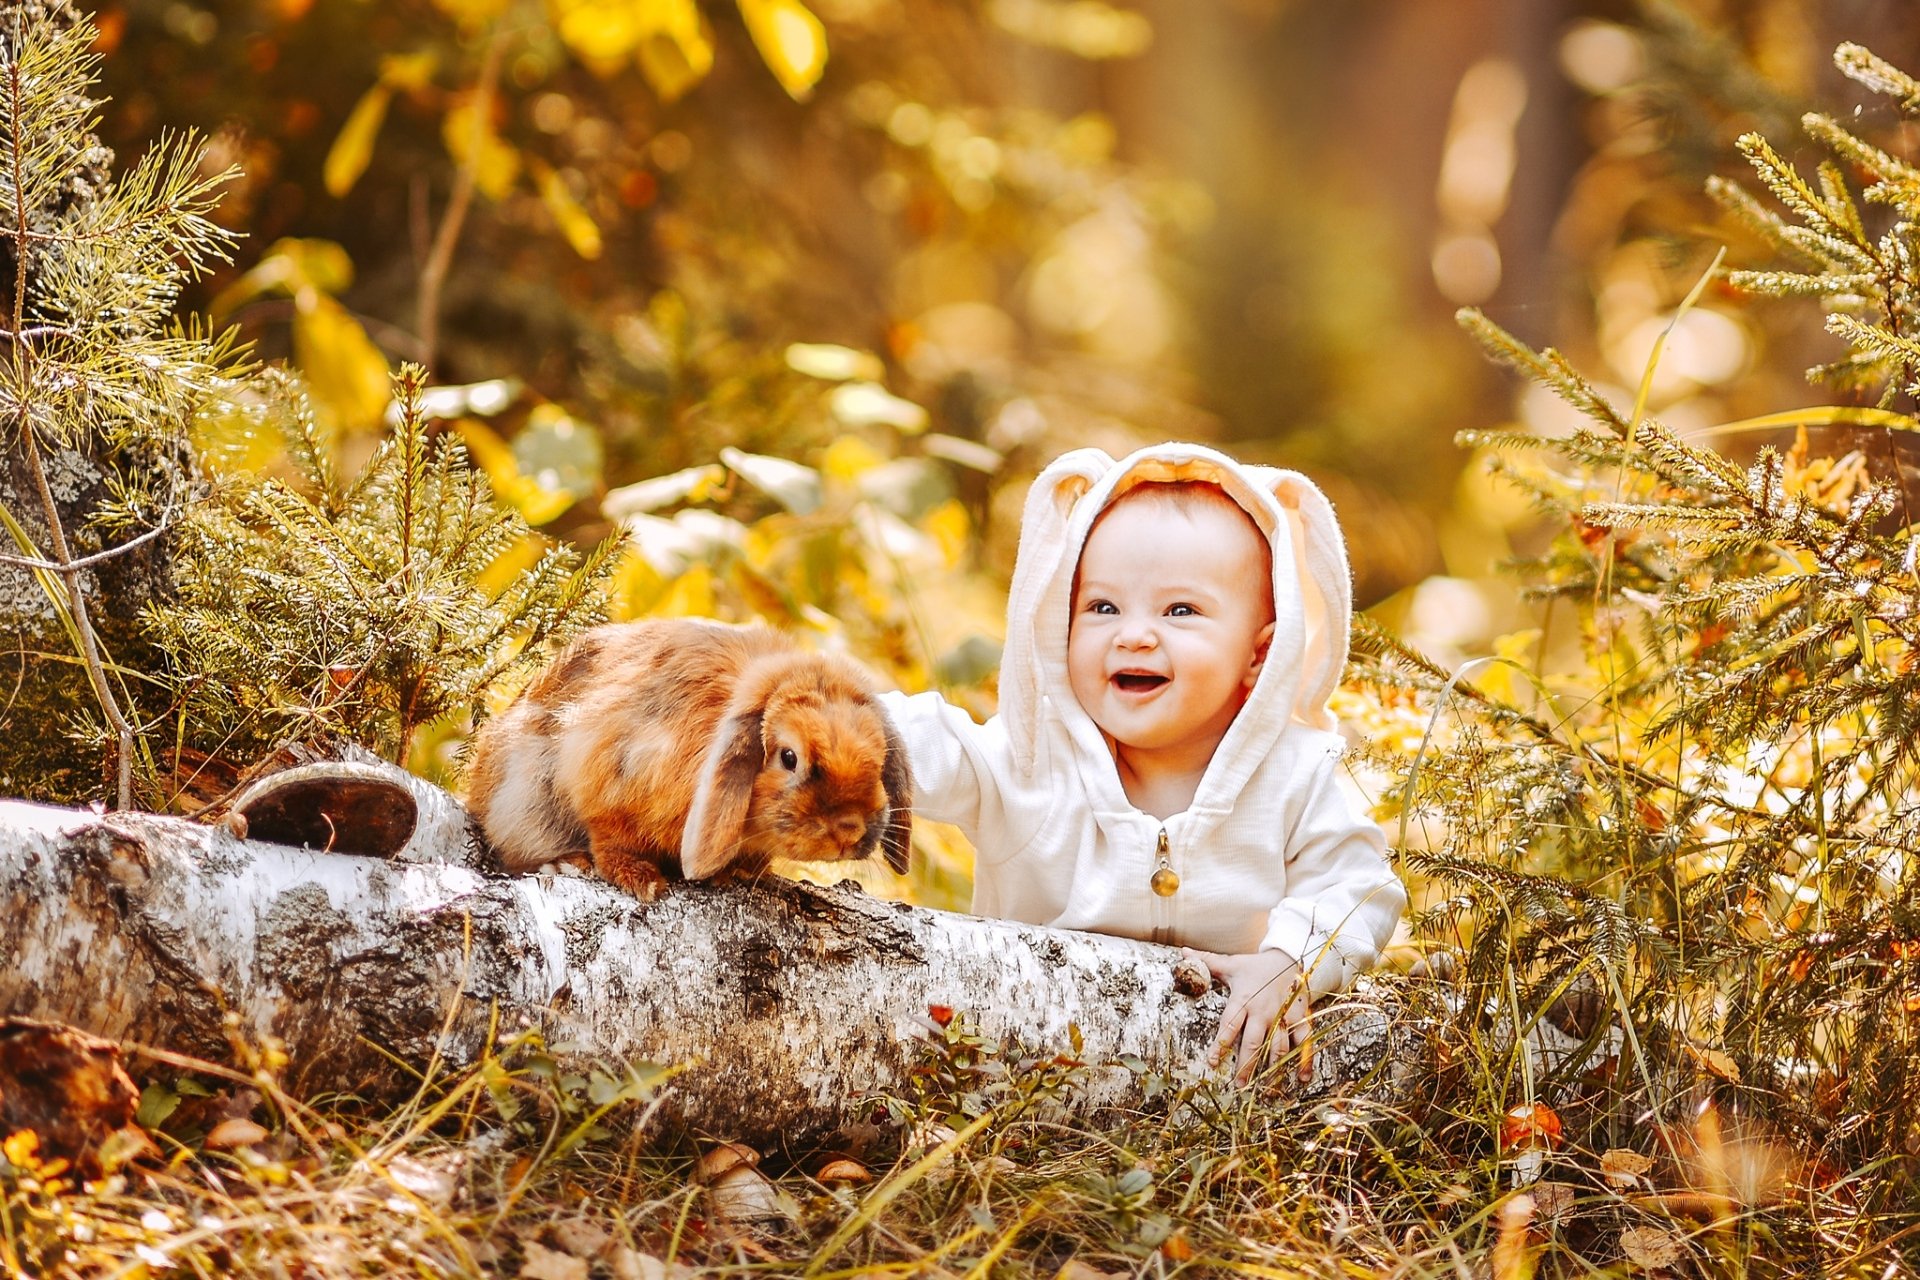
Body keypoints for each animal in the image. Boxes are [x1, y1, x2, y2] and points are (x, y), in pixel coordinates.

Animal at [465, 617, 913, 901]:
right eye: (789, 757)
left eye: (879, 761)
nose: (850, 830)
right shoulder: (608, 781)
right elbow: (610, 838)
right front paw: (641, 880)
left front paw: (739, 872)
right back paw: (570, 862)